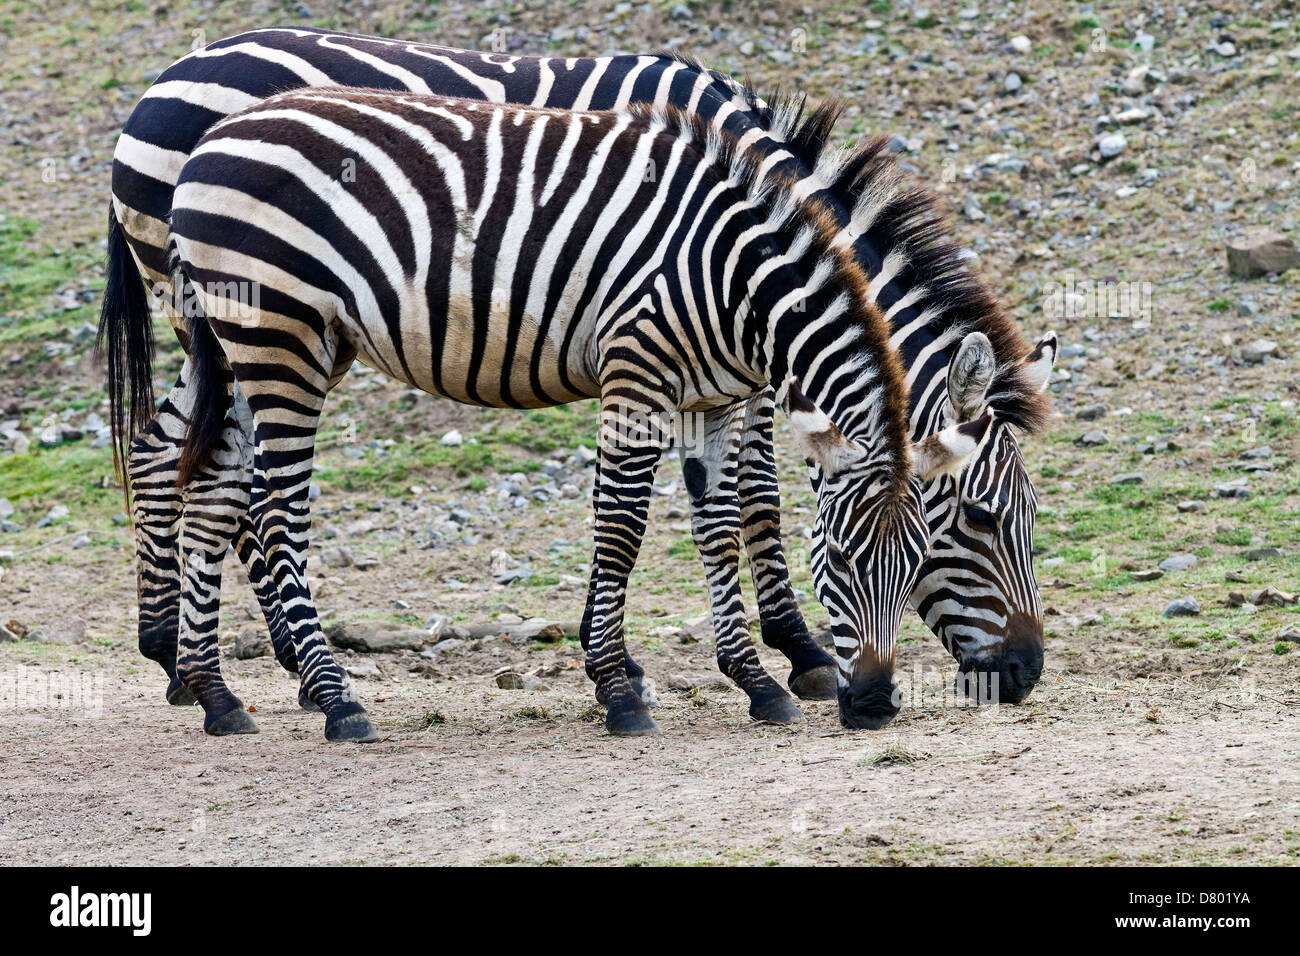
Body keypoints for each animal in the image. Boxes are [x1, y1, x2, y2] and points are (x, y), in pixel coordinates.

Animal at [102, 29, 1056, 720]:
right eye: (978, 518)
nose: (1025, 672)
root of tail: (171, 83)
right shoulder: (678, 372)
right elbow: (696, 510)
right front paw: (742, 663)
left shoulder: (716, 381)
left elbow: (713, 516)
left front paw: (750, 672)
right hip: (259, 329)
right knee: (251, 492)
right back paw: (306, 688)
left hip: (243, 342)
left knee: (189, 467)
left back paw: (211, 682)